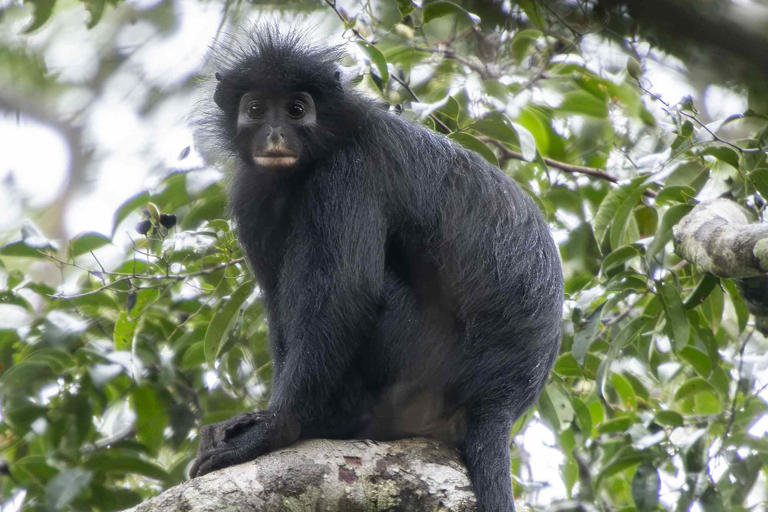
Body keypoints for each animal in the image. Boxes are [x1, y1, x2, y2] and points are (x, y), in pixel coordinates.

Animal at [190, 30, 563, 512]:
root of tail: (501, 399)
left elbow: (346, 293)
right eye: (255, 109)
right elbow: (277, 304)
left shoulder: (351, 169)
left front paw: (277, 427)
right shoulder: (253, 194)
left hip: (419, 363)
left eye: (296, 110)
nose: (275, 134)